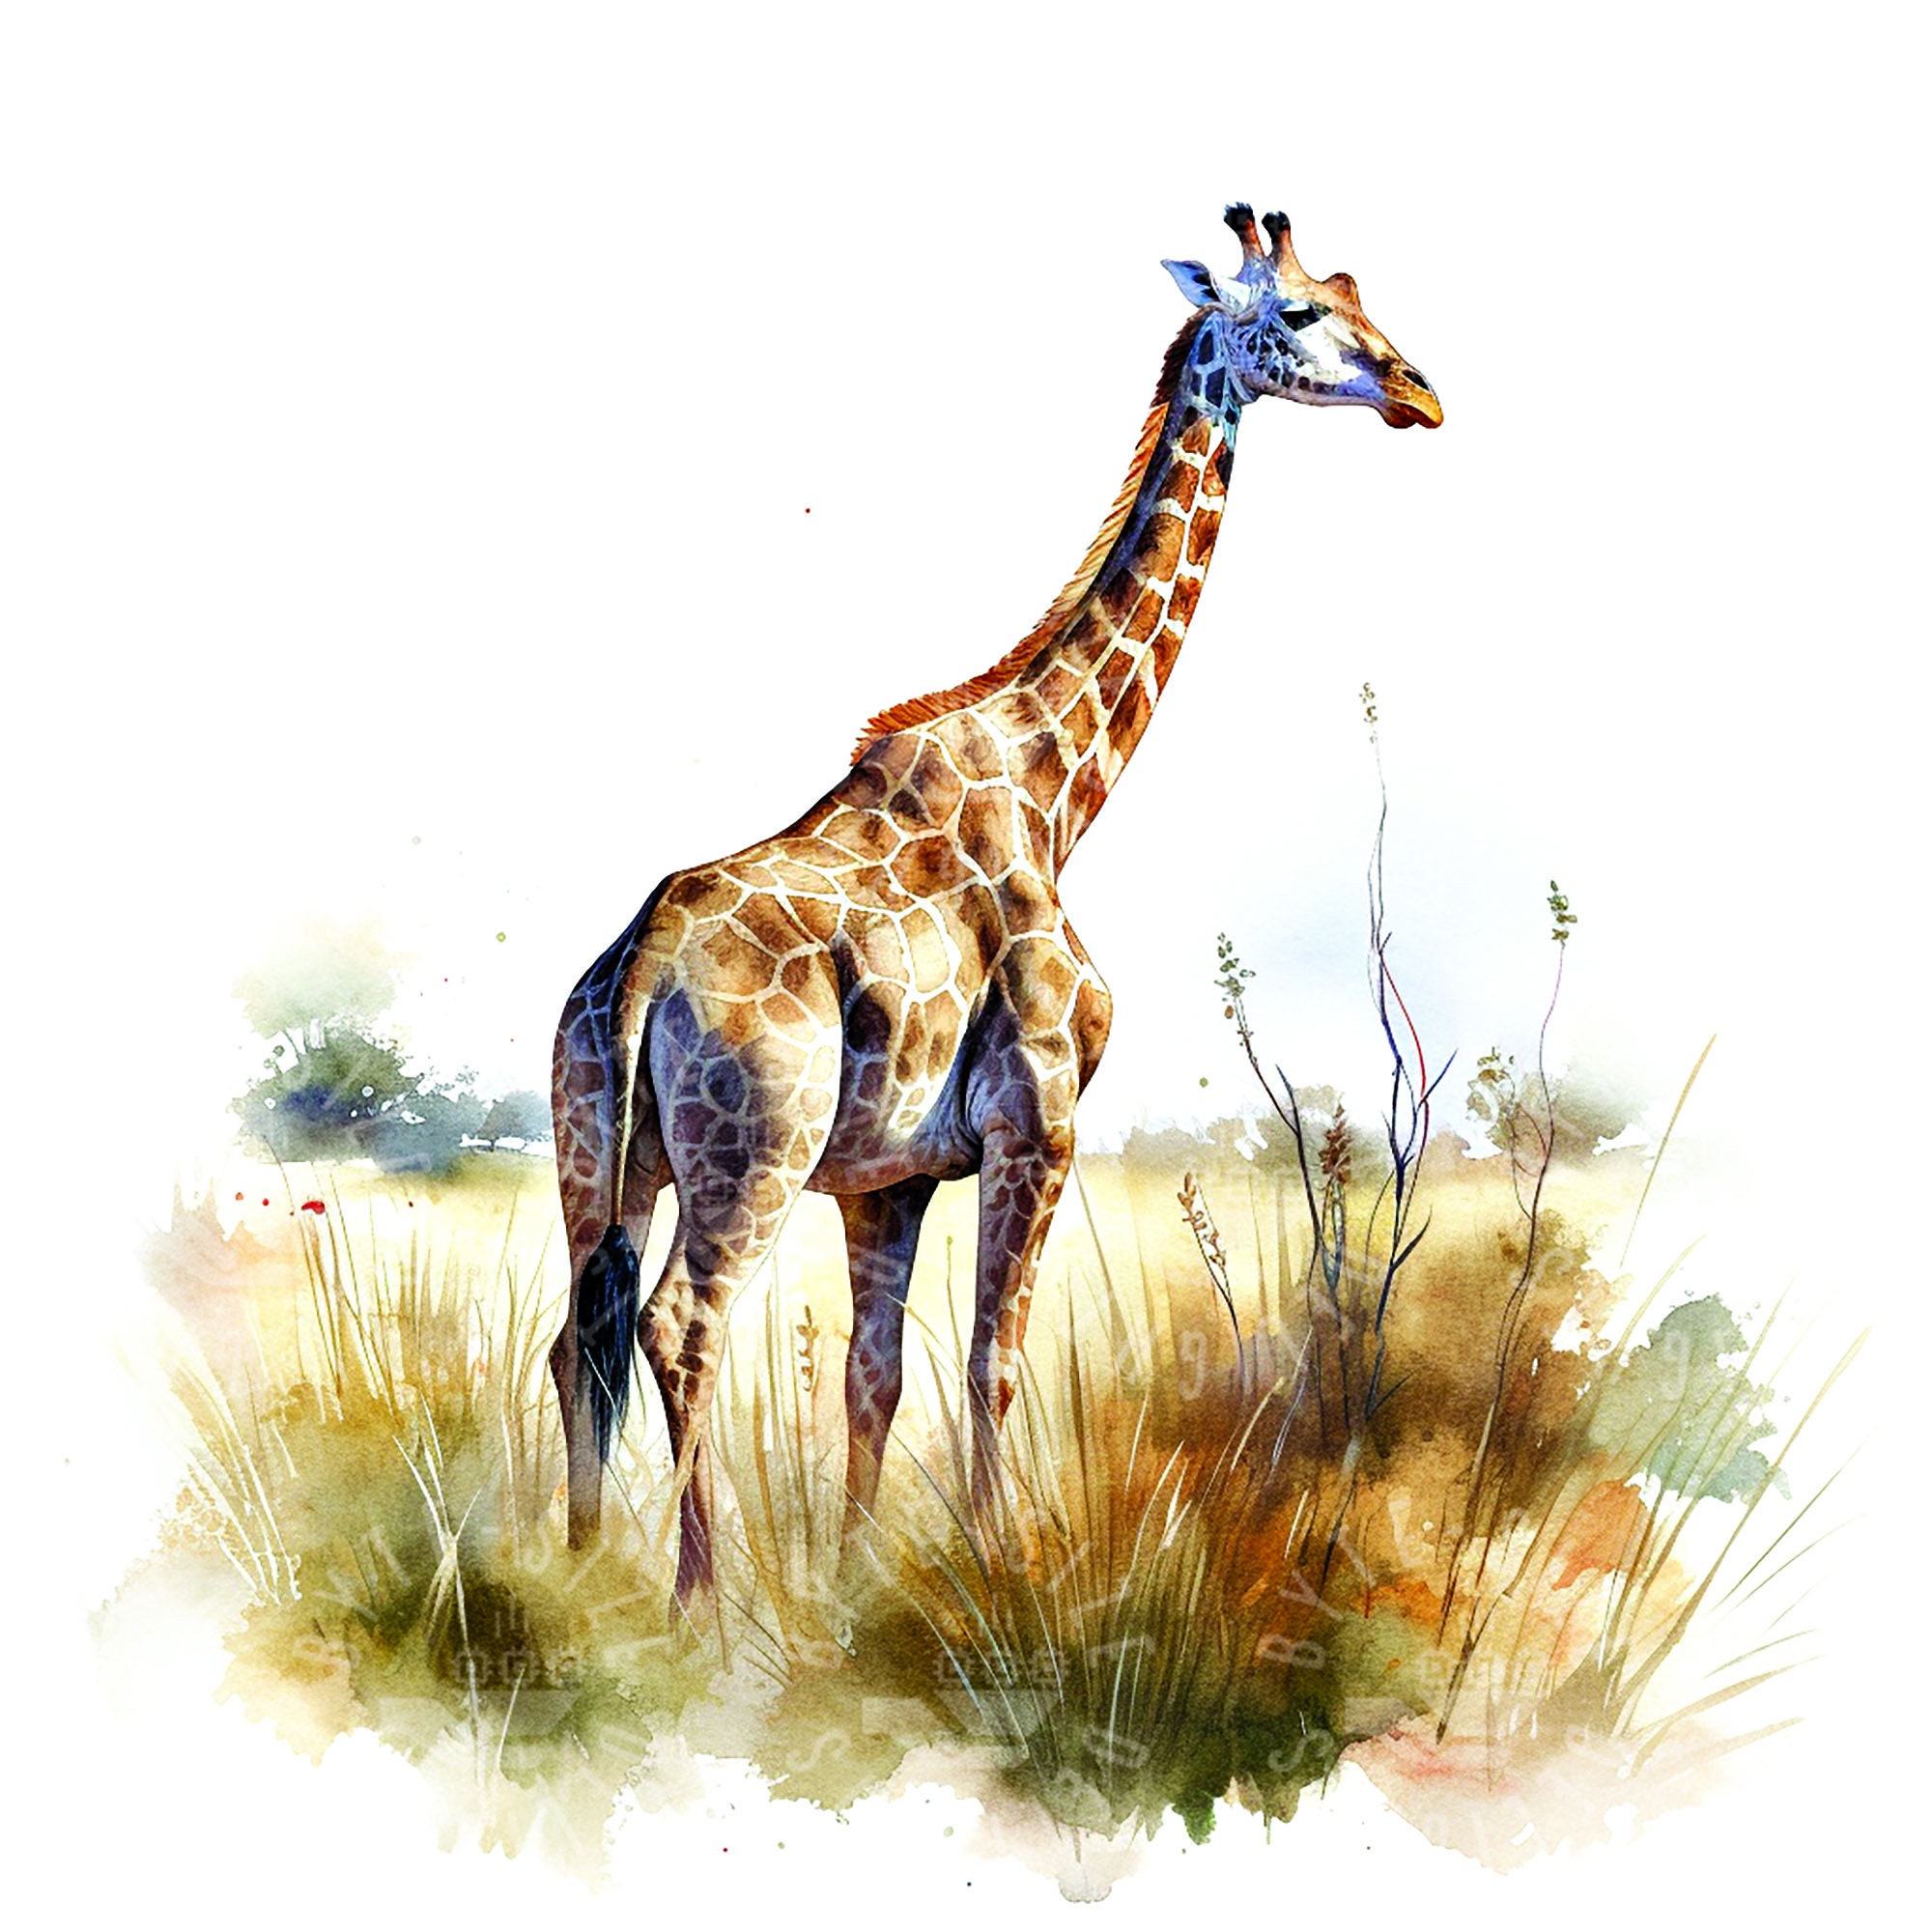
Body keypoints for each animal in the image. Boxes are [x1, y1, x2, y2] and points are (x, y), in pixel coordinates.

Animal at [550, 203, 1440, 1601]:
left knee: (581, 1330)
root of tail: (636, 963)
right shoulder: (1037, 1119)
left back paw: (580, 1575)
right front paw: (999, 1562)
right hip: (751, 1154)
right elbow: (991, 1360)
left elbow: (873, 1375)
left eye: (1355, 289)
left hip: (598, 1145)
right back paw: (700, 1598)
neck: (1054, 786)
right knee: (681, 1326)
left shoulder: (888, 1177)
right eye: (1298, 310)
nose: (1419, 392)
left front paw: (856, 1580)